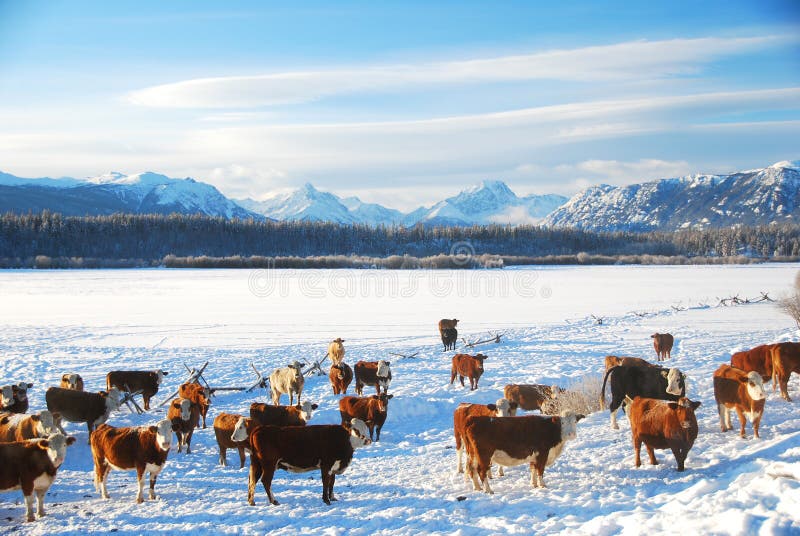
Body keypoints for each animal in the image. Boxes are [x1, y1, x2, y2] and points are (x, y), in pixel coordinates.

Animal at [233, 417, 372, 506]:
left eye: (366, 429)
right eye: (356, 430)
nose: (368, 440)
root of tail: (260, 429)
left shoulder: (333, 467)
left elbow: (332, 483)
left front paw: (332, 497)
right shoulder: (326, 465)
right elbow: (326, 483)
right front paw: (326, 500)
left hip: (256, 464)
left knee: (252, 480)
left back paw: (251, 501)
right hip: (269, 464)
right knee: (265, 481)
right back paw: (274, 501)